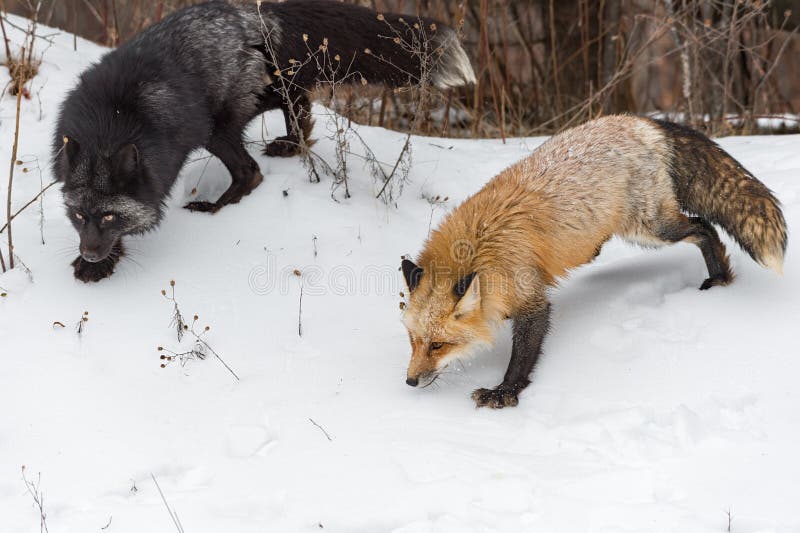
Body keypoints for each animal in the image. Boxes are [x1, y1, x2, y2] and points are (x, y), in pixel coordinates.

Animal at [54, 0, 474, 282]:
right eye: (79, 215)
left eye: (110, 215)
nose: (90, 254)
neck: (110, 123)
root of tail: (253, 11)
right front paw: (98, 262)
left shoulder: (154, 177)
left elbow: (138, 214)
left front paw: (103, 262)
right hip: (263, 95)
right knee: (298, 103)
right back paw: (292, 144)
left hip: (216, 129)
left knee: (251, 171)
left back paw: (216, 208)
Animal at [400, 115, 787, 409]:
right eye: (413, 341)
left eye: (438, 345)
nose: (410, 381)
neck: (480, 248)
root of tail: (641, 121)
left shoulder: (531, 300)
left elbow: (523, 354)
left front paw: (505, 392)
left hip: (651, 229)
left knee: (704, 228)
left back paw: (719, 278)